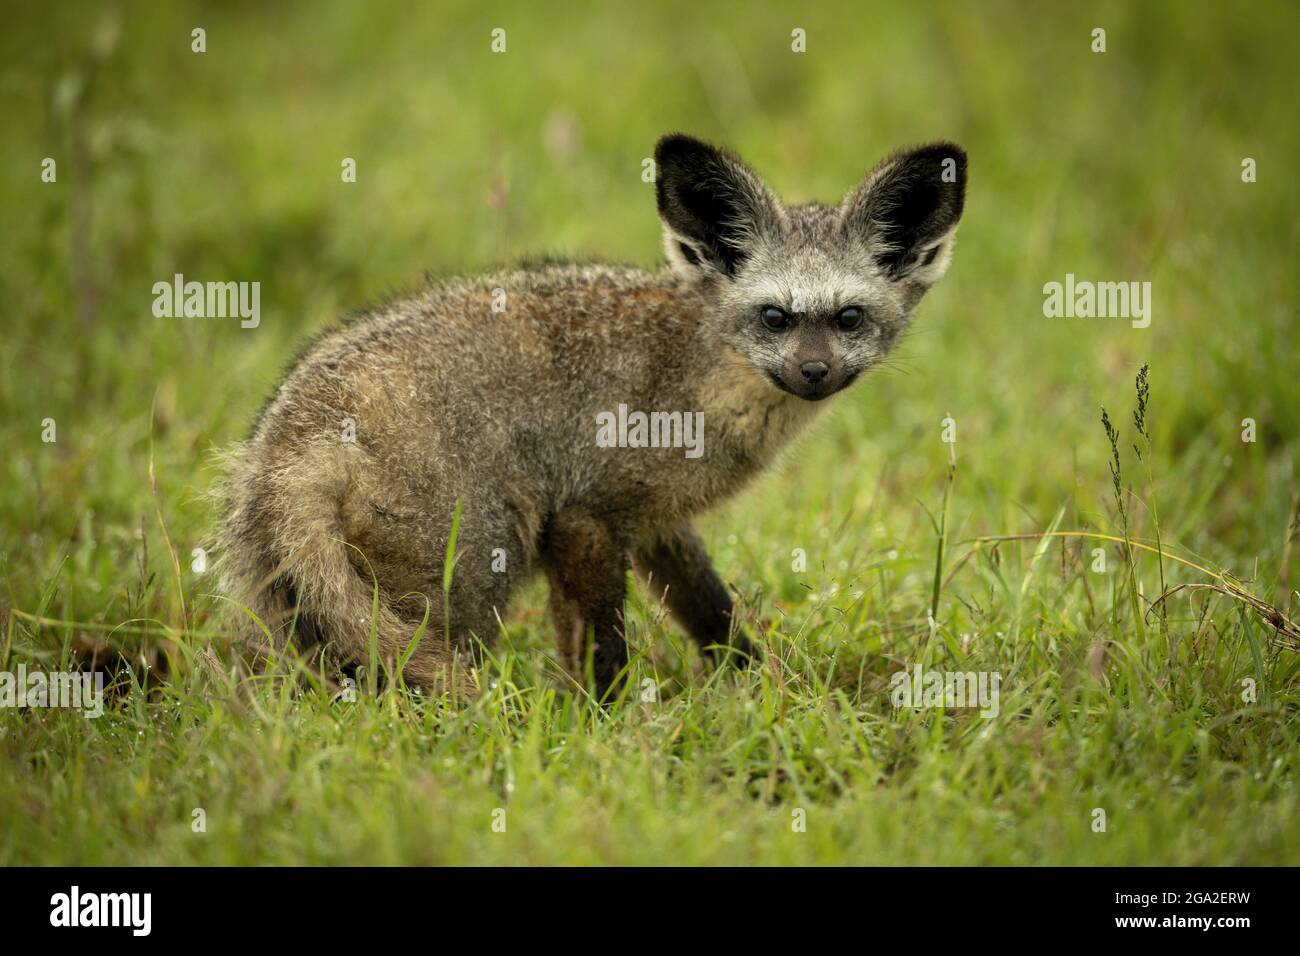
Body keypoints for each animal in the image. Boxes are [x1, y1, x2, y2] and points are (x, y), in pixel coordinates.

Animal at [216, 133, 967, 700]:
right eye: (775, 318)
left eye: (848, 318)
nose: (814, 373)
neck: (699, 376)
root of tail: (289, 446)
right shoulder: (585, 516)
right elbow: (605, 648)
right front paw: (606, 730)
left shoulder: (655, 522)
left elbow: (714, 616)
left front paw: (762, 687)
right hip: (473, 578)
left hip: (322, 610)